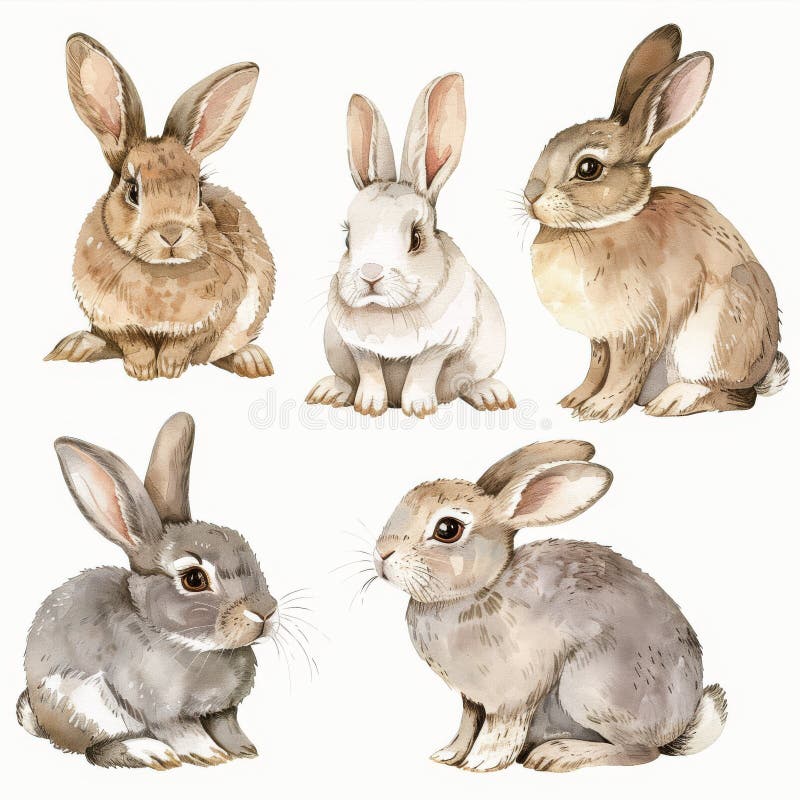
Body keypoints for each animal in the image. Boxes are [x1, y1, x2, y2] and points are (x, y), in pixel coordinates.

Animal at [17, 413, 278, 769]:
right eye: (194, 579)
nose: (266, 611)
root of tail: (41, 721)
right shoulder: (158, 709)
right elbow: (183, 732)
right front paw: (210, 754)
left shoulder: (224, 712)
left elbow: (227, 726)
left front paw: (244, 750)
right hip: (82, 707)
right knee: (94, 750)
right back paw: (148, 751)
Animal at [45, 34, 275, 380]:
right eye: (133, 191)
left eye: (198, 191)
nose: (172, 234)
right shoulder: (110, 318)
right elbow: (131, 341)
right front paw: (142, 370)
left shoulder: (224, 308)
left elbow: (188, 342)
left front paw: (168, 367)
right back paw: (75, 346)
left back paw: (253, 361)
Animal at [306, 74, 514, 418]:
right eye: (347, 237)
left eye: (416, 238)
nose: (370, 274)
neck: (389, 311)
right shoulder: (358, 347)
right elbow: (370, 372)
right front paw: (369, 407)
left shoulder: (441, 344)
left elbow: (422, 371)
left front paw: (418, 409)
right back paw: (328, 392)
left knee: (468, 383)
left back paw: (492, 396)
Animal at [373, 440, 727, 773]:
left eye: (447, 529)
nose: (382, 554)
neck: (477, 592)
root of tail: (679, 723)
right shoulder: (471, 700)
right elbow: (467, 725)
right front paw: (447, 755)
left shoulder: (514, 695)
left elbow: (499, 731)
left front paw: (481, 763)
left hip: (589, 688)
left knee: (640, 752)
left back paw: (557, 754)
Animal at [523, 23, 788, 420]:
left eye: (589, 168)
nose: (530, 195)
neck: (602, 226)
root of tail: (763, 373)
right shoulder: (601, 338)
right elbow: (596, 368)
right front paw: (575, 400)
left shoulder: (638, 329)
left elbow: (622, 372)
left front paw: (600, 409)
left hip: (714, 335)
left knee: (731, 396)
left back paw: (671, 401)